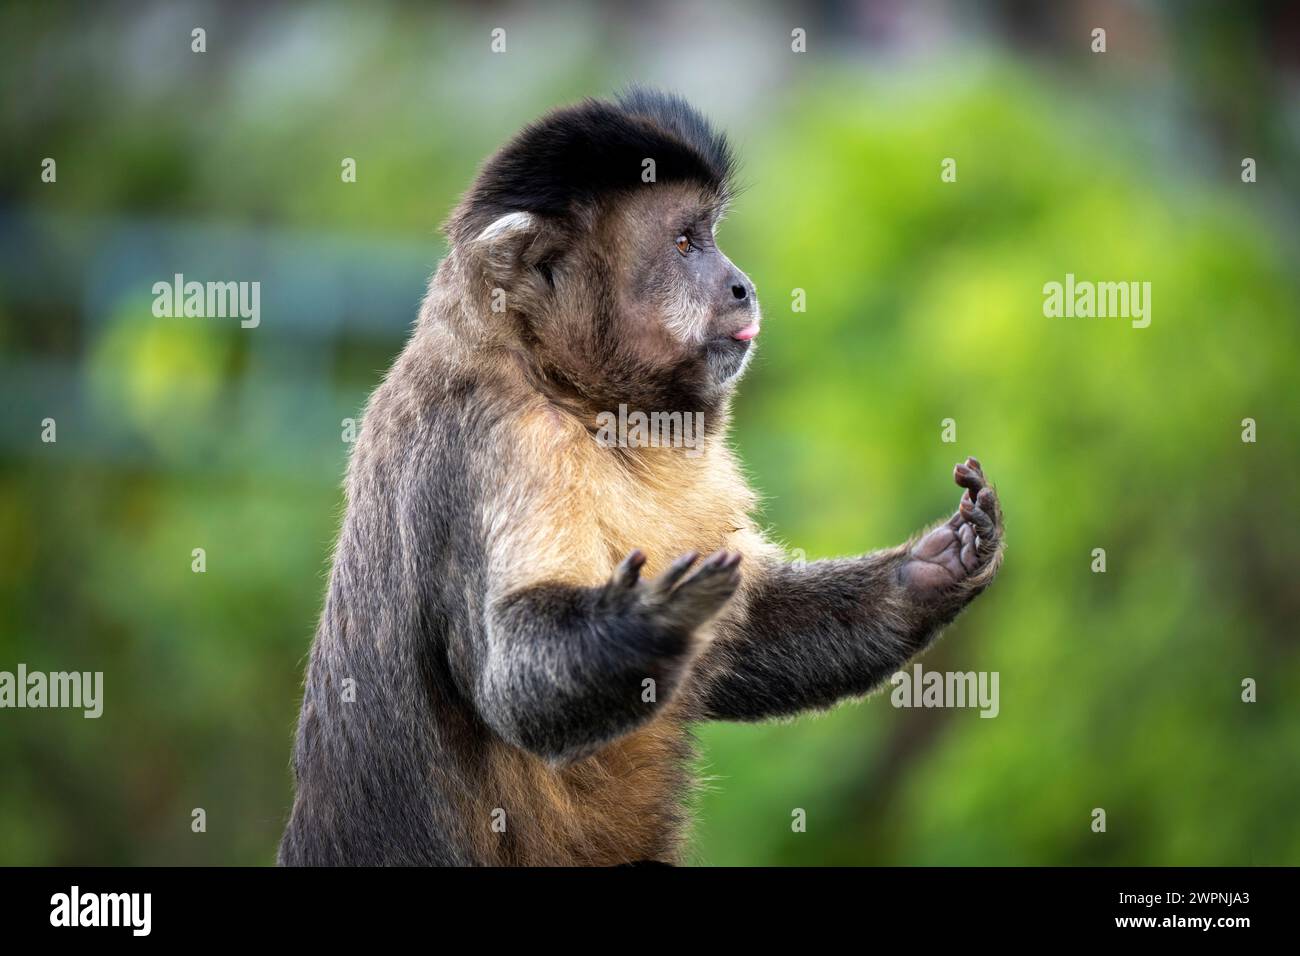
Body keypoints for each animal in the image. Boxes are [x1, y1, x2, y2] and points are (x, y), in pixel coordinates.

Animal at [278, 89, 1004, 867]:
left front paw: (933, 569)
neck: (565, 389)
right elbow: (516, 689)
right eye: (686, 243)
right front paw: (652, 619)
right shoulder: (504, 440)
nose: (742, 285)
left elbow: (741, 636)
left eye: (711, 235)